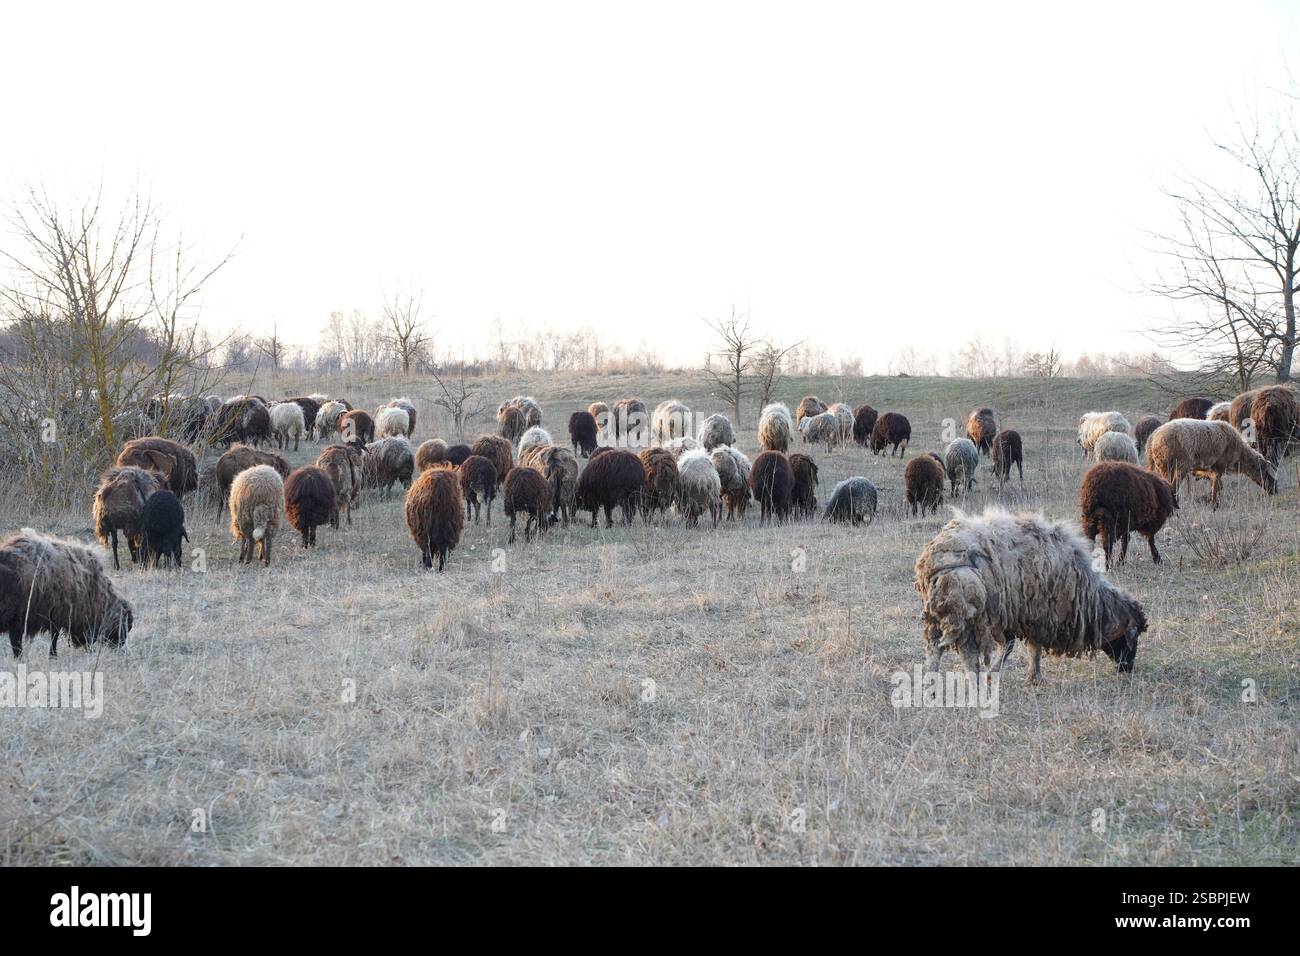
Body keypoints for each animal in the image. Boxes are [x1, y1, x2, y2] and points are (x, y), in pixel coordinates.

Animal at [915, 508, 1148, 681]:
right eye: (1133, 636)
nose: (1127, 669)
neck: (1089, 600)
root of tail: (934, 558)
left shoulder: (1022, 615)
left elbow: (1019, 646)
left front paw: (1030, 676)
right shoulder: (1038, 614)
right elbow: (1025, 647)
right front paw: (1008, 674)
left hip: (938, 611)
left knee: (933, 646)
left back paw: (931, 682)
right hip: (965, 608)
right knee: (967, 651)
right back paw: (974, 680)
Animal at [1146, 418, 1277, 508]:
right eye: (1267, 473)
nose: (1275, 491)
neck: (1240, 454)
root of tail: (1153, 438)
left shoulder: (1212, 469)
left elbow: (1217, 485)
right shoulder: (1219, 467)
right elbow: (1217, 487)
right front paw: (1215, 505)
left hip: (1157, 466)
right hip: (1174, 466)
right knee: (1172, 487)